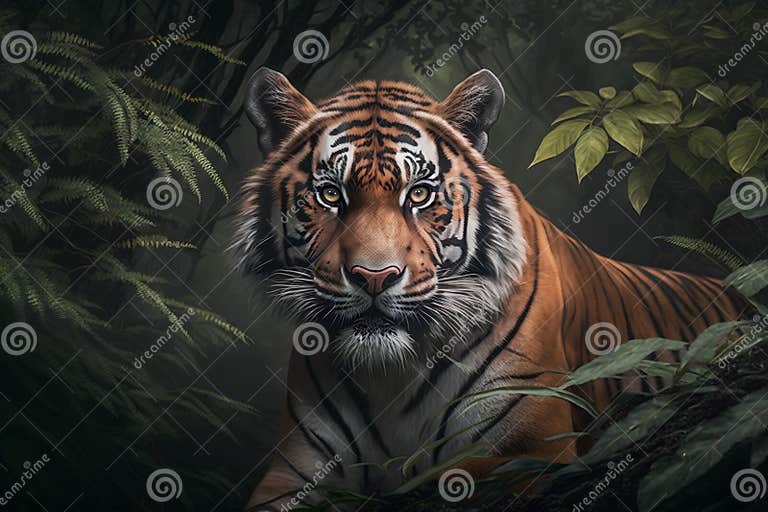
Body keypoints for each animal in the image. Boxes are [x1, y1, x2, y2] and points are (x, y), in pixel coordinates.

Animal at [234, 67, 746, 510]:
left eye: (419, 194)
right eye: (329, 195)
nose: (374, 276)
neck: (391, 377)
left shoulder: (535, 448)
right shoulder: (293, 474)